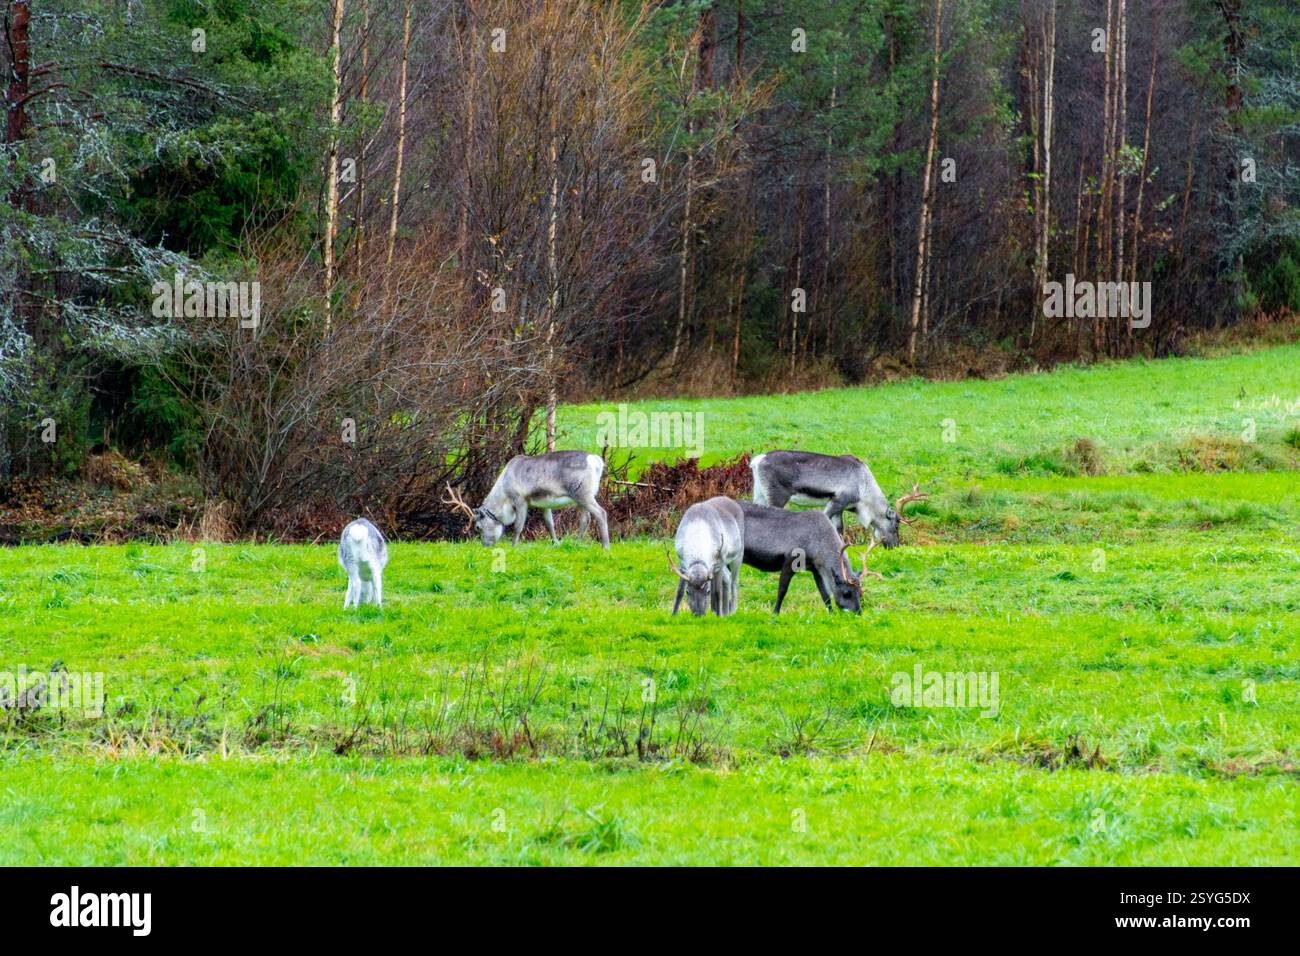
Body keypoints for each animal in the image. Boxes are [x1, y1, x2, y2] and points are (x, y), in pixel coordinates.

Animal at [443, 450, 610, 549]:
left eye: (478, 527)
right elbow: (549, 524)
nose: (486, 547)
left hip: (583, 494)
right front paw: (556, 543)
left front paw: (513, 546)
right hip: (579, 499)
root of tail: (597, 461)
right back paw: (576, 542)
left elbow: (518, 526)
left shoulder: (520, 500)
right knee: (586, 518)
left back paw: (605, 546)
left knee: (601, 513)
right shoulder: (544, 504)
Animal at [738, 501, 881, 614]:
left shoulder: (815, 568)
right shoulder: (790, 561)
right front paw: (775, 613)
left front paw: (831, 614)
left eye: (860, 592)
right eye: (846, 593)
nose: (858, 613)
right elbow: (782, 590)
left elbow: (825, 595)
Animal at [749, 450, 929, 547]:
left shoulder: (840, 508)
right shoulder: (838, 500)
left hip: (759, 495)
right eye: (896, 525)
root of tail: (757, 461)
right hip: (777, 497)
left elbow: (839, 529)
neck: (864, 488)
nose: (895, 547)